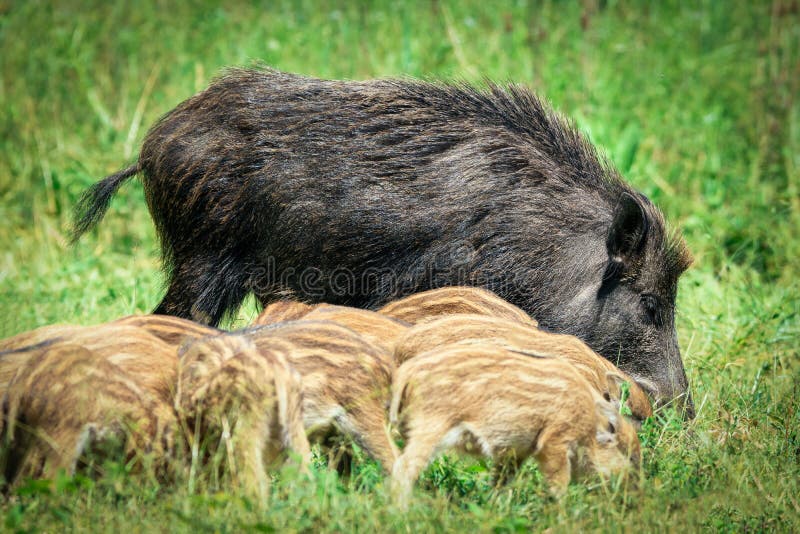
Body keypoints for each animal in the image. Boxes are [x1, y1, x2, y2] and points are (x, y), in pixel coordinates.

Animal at [389, 344, 641, 508]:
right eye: (629, 457)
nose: (638, 496)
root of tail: (405, 373)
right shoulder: (555, 441)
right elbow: (559, 482)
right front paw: (562, 512)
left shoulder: (516, 451)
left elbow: (501, 480)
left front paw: (494, 506)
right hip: (432, 425)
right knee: (403, 467)